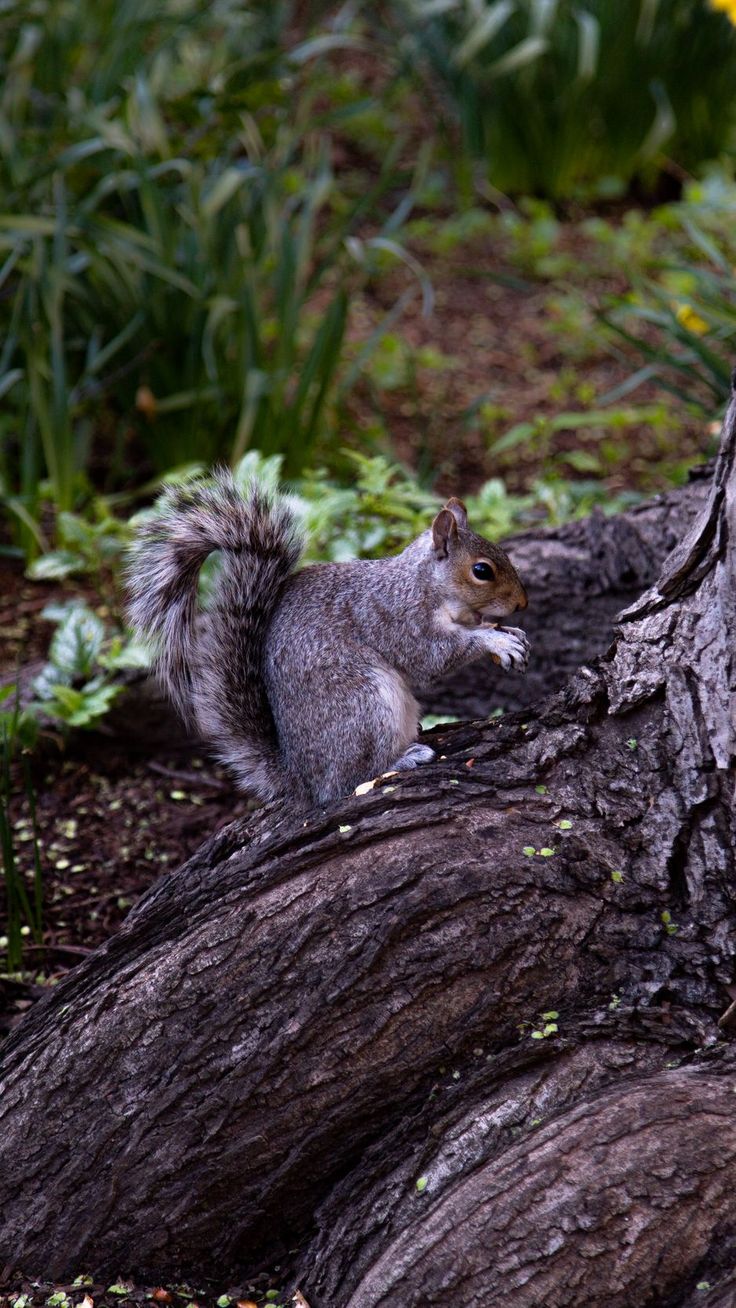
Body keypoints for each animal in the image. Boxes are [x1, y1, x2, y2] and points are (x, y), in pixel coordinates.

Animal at [127, 471, 529, 809]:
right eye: (482, 571)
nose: (522, 604)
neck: (424, 584)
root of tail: (300, 777)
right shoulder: (396, 618)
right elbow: (432, 658)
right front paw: (495, 641)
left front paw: (509, 632)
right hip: (362, 703)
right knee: (348, 782)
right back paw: (402, 759)